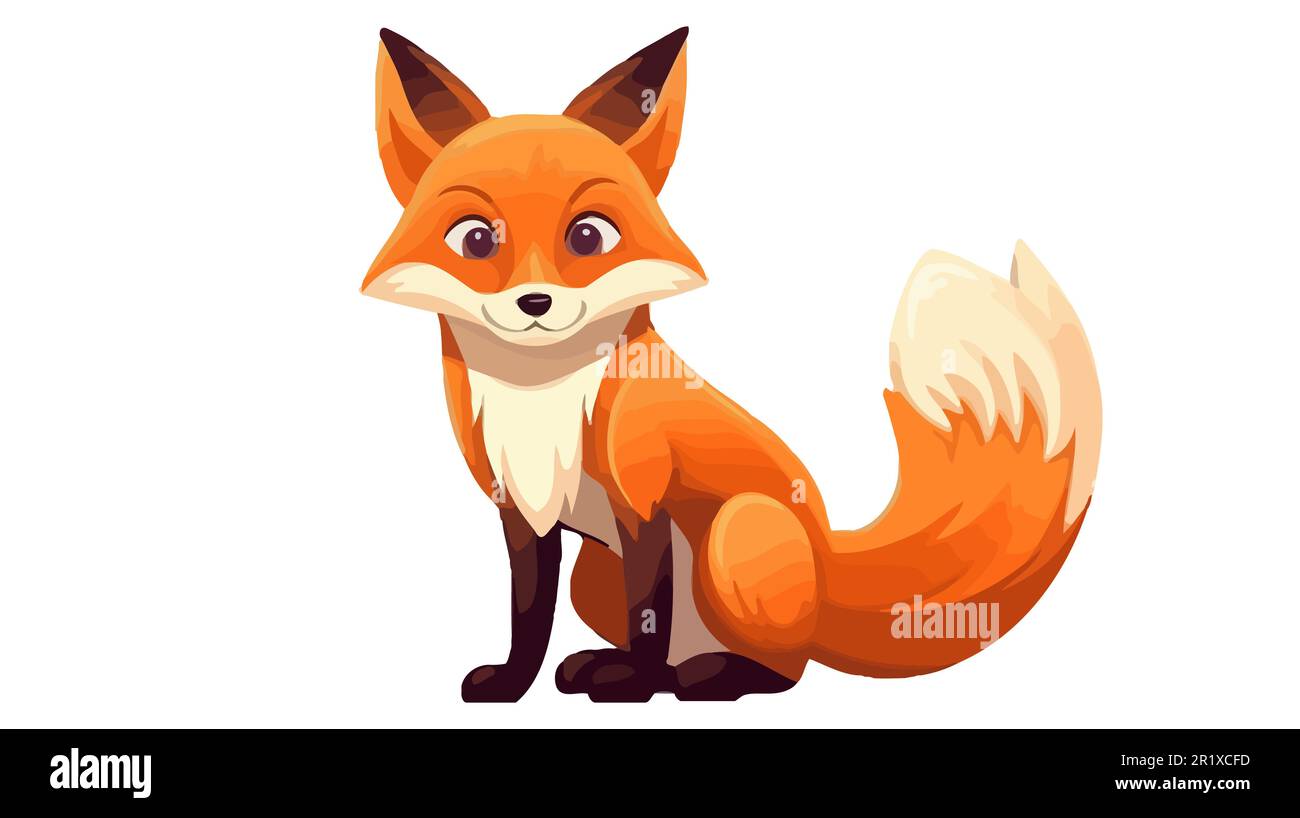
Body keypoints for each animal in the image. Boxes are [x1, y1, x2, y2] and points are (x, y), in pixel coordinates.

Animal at [361, 26, 1102, 702]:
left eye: (588, 236)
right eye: (475, 240)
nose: (534, 302)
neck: (540, 398)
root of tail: (827, 571)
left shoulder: (642, 497)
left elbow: (647, 606)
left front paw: (633, 686)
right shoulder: (519, 509)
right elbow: (527, 612)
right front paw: (515, 684)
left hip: (740, 530)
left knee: (786, 670)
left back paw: (705, 678)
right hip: (593, 576)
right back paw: (618, 667)